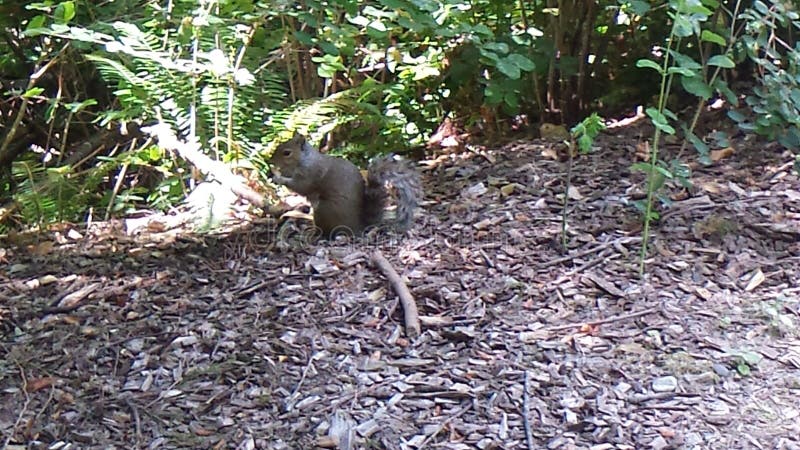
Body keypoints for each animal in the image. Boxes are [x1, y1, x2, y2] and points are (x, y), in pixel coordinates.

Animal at [268, 133, 422, 237]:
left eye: (287, 153)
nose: (271, 160)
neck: (305, 160)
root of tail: (359, 226)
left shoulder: (310, 174)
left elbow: (300, 186)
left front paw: (278, 178)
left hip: (324, 210)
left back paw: (314, 232)